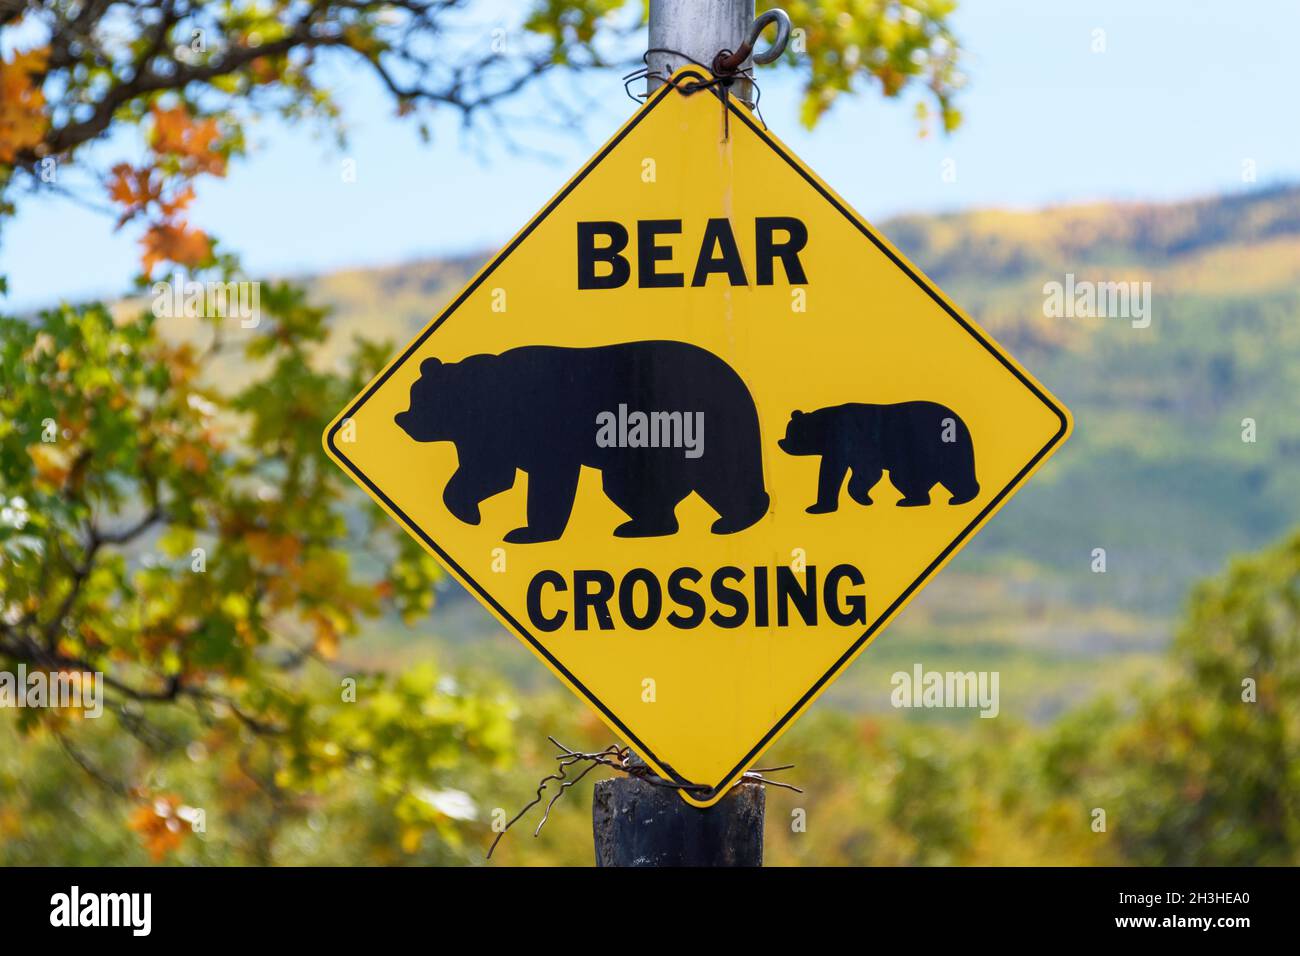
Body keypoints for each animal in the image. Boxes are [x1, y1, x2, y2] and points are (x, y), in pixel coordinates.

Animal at [394, 340, 770, 543]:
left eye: (418, 399)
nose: (402, 419)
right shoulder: (489, 435)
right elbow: (490, 474)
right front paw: (474, 513)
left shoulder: (529, 427)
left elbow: (531, 478)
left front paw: (524, 531)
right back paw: (641, 526)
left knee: (722, 478)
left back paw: (732, 520)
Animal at [777, 401, 979, 513]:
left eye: (790, 433)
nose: (781, 442)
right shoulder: (861, 450)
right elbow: (866, 473)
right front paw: (864, 497)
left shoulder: (844, 436)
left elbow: (832, 469)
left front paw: (818, 507)